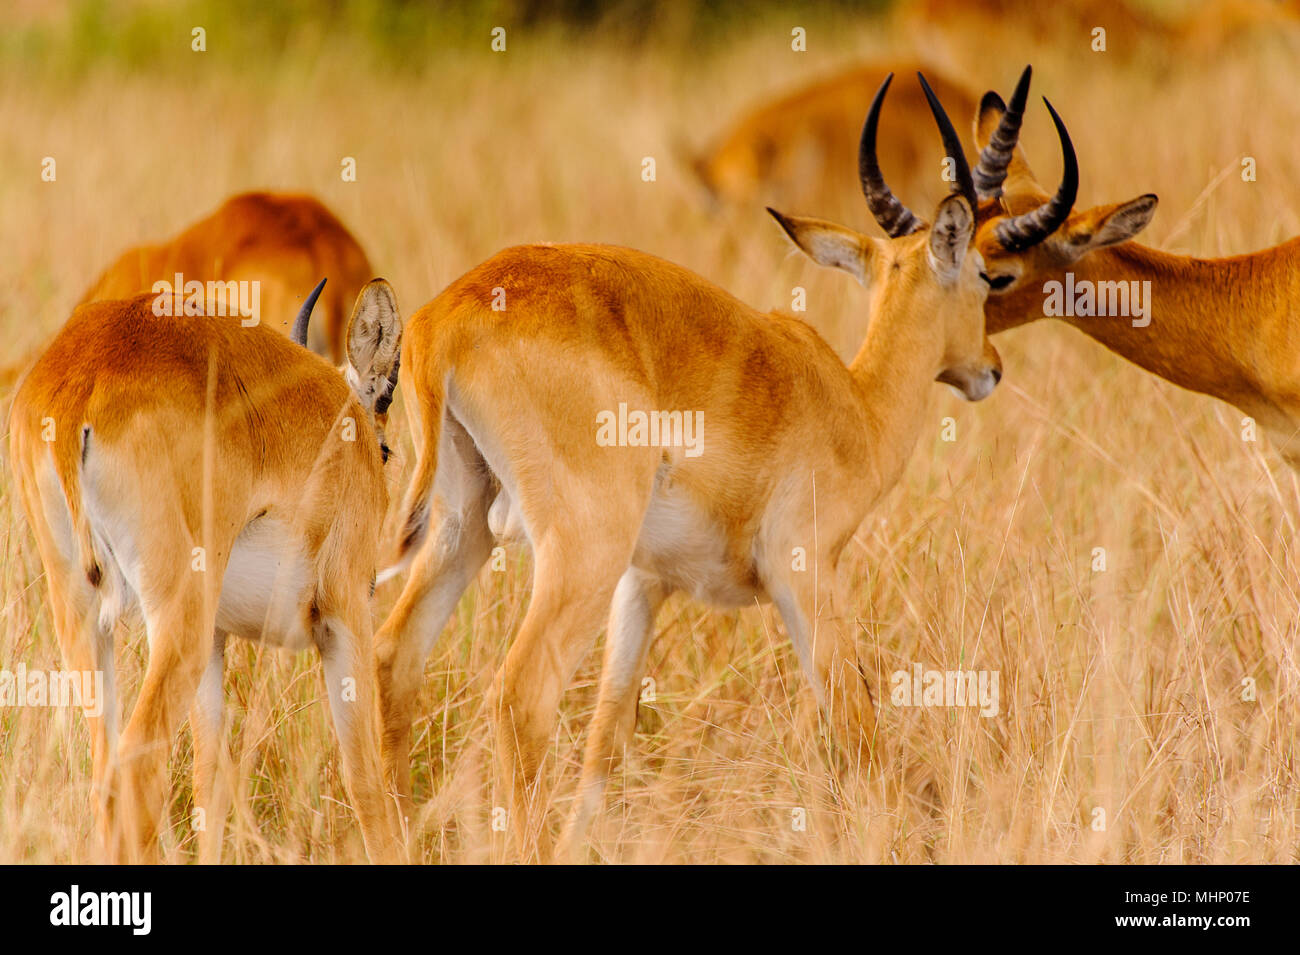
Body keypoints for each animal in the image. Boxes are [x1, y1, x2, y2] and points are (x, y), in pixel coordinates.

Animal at [7, 278, 404, 863]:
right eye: (386, 451)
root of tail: (82, 384)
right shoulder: (344, 616)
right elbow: (368, 784)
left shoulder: (217, 639)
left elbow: (209, 783)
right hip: (179, 622)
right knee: (137, 769)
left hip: (85, 618)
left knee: (107, 772)